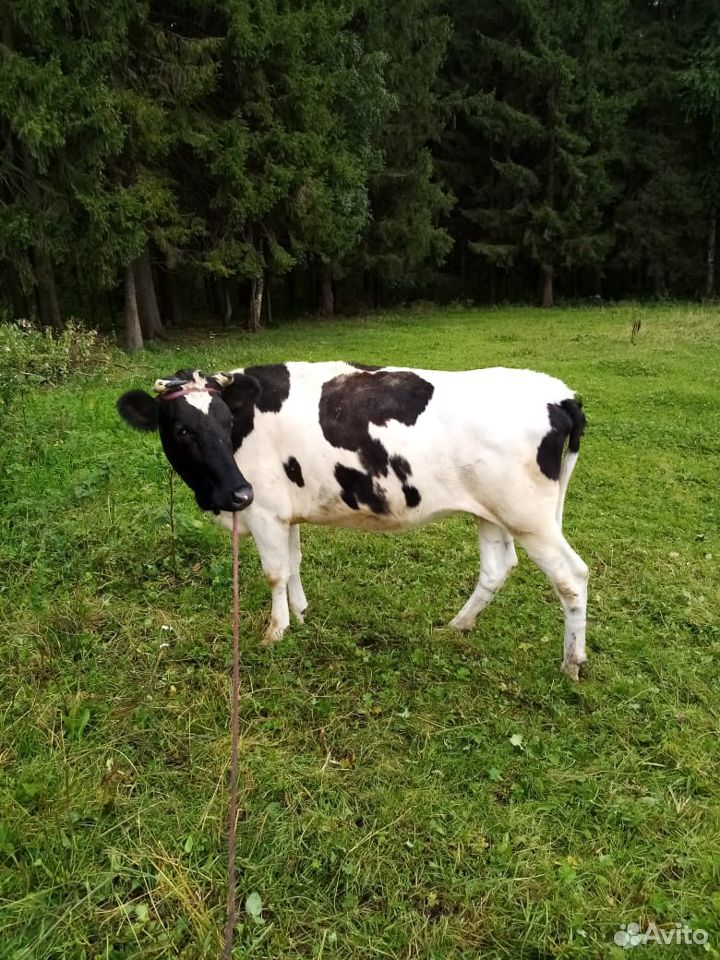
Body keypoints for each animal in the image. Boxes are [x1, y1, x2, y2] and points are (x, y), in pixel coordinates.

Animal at [117, 362, 589, 679]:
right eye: (181, 429)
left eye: (226, 419)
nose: (239, 492)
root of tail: (561, 394)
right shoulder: (286, 511)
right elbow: (294, 564)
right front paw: (301, 614)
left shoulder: (265, 509)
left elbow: (274, 573)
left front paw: (275, 631)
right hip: (491, 512)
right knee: (497, 567)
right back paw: (456, 626)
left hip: (531, 517)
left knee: (572, 576)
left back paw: (571, 663)